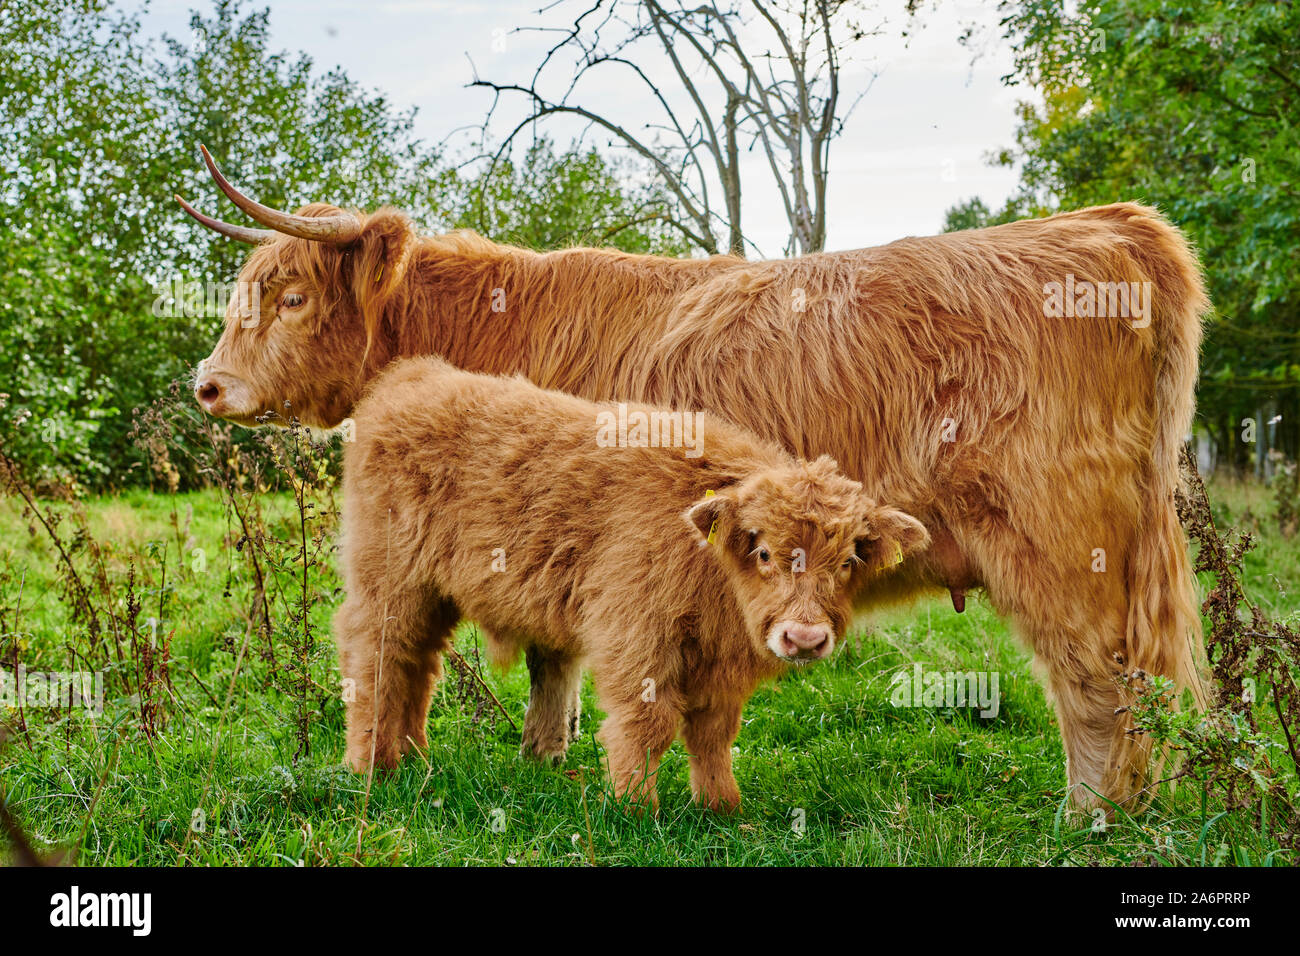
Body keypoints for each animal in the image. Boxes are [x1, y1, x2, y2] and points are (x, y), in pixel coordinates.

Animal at [336, 355, 929, 810]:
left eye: (848, 561)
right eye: (763, 552)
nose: (804, 639)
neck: (711, 575)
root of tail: (413, 376)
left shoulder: (719, 665)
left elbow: (713, 732)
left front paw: (721, 807)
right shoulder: (635, 638)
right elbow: (647, 723)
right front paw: (635, 808)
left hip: (430, 594)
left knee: (418, 665)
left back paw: (414, 760)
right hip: (388, 579)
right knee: (378, 660)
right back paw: (370, 767)